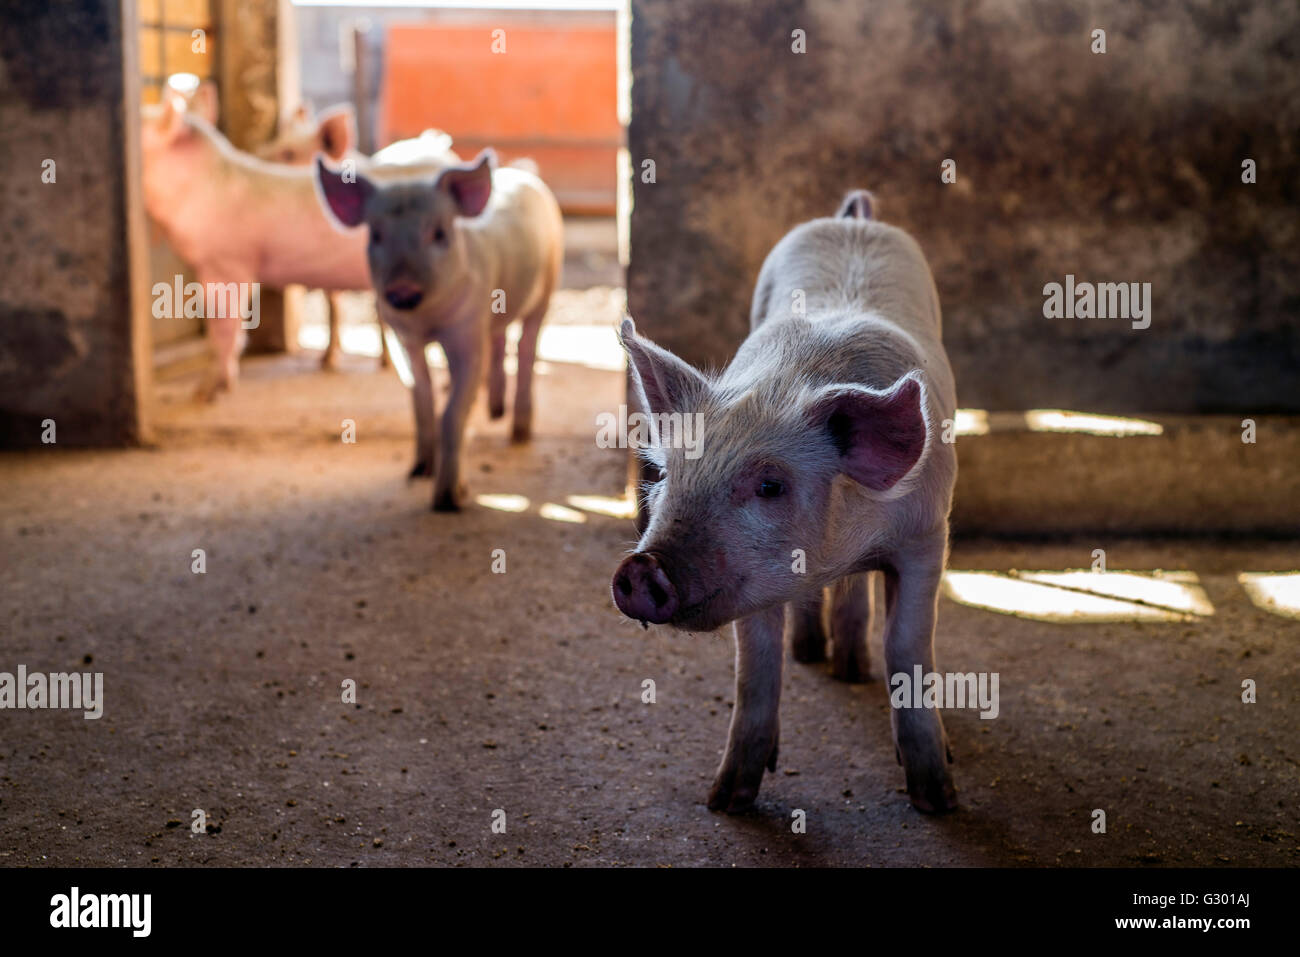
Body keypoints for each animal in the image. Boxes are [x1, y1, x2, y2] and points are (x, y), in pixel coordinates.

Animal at [315, 149, 565, 512]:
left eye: (438, 234)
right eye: (376, 235)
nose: (402, 290)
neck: (427, 321)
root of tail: (524, 174)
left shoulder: (468, 331)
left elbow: (453, 412)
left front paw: (449, 500)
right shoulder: (403, 337)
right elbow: (421, 396)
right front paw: (418, 471)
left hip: (547, 288)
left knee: (527, 347)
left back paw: (519, 434)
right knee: (499, 338)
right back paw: (494, 411)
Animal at [610, 190, 958, 815]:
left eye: (771, 486)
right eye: (668, 473)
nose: (641, 566)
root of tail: (854, 220)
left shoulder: (927, 534)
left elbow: (908, 645)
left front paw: (938, 800)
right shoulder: (750, 581)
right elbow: (755, 667)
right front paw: (726, 800)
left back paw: (850, 669)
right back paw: (813, 653)